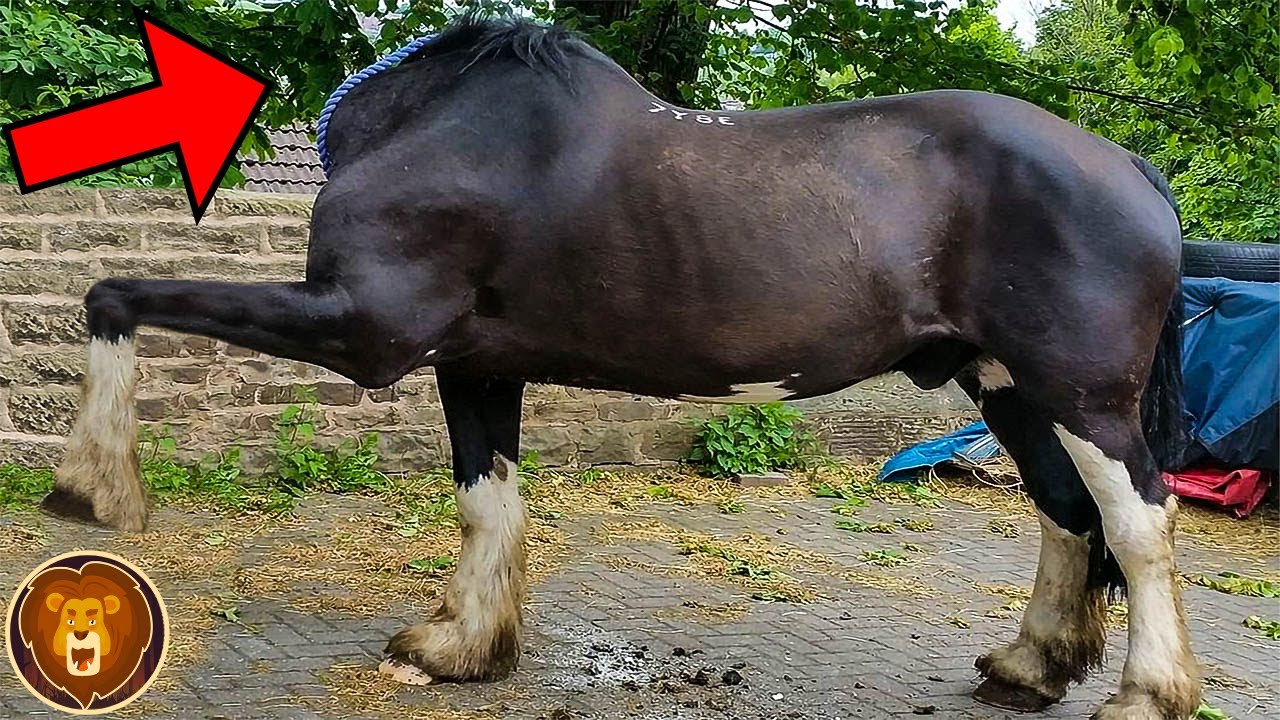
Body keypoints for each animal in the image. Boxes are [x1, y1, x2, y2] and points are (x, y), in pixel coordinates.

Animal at [44, 16, 1198, 720]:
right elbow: (487, 502)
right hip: (1004, 384)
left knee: (1138, 521)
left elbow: (117, 295)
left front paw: (92, 486)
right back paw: (1027, 667)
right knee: (1065, 515)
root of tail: (1127, 166)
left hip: (1082, 395)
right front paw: (463, 646)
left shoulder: (361, 332)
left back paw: (1146, 690)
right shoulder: (473, 367)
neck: (432, 124)